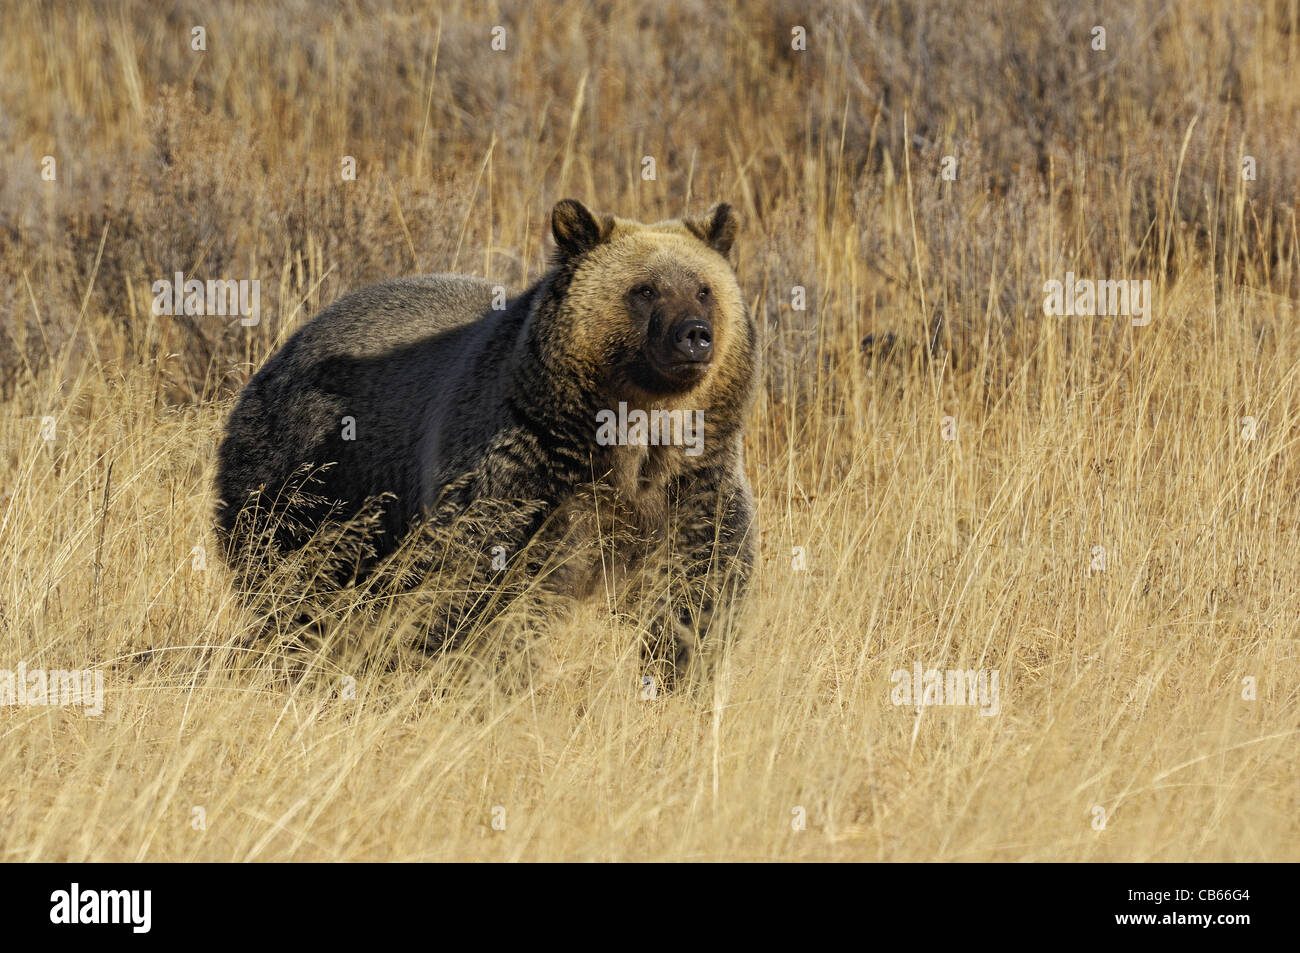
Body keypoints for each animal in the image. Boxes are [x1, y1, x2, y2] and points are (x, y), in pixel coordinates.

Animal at [214, 199, 759, 688]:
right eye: (645, 289)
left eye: (704, 289)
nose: (694, 335)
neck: (629, 434)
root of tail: (293, 340)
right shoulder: (527, 472)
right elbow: (489, 581)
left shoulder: (691, 483)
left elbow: (703, 580)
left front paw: (680, 671)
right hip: (311, 477)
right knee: (290, 578)